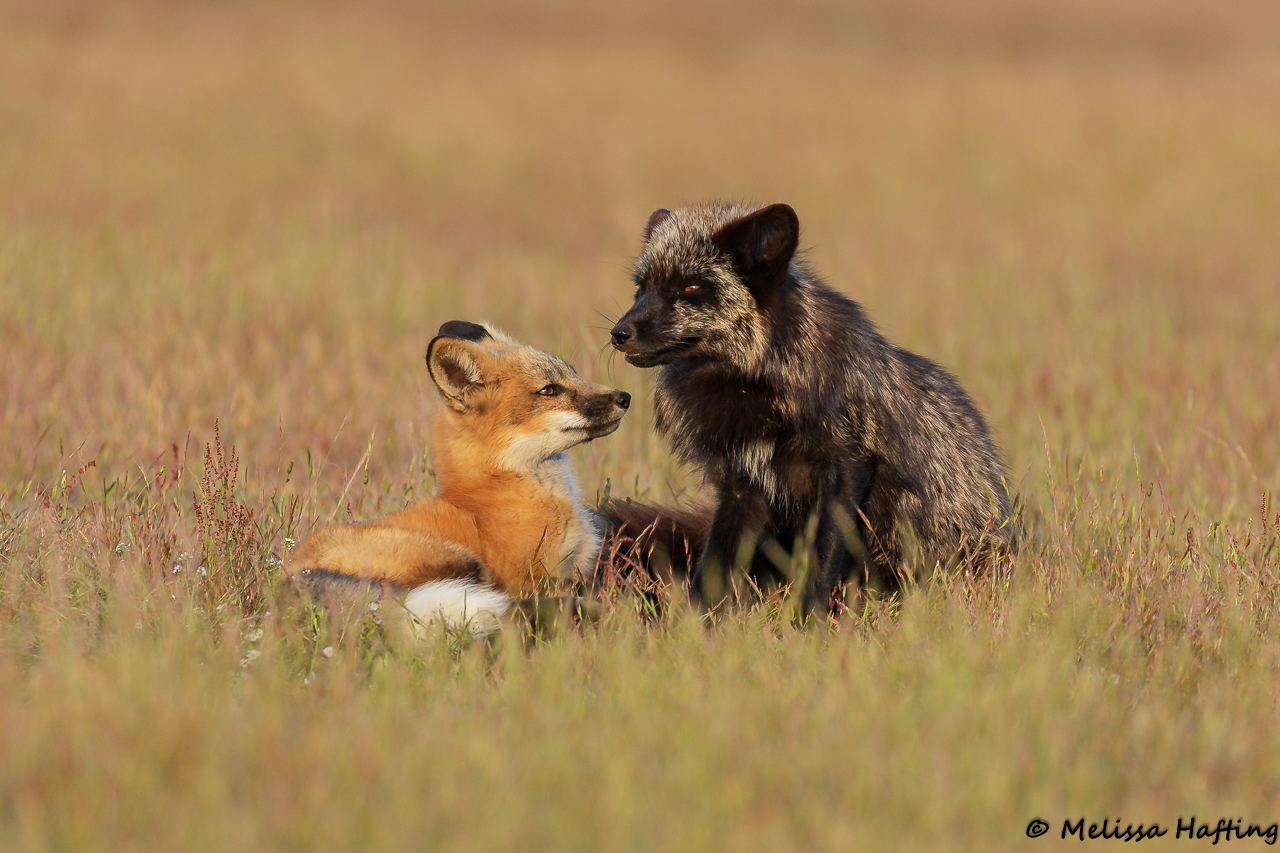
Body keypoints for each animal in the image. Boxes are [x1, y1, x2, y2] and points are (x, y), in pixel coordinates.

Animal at [287, 320, 631, 636]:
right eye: (549, 390)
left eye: (574, 374)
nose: (625, 397)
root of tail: (287, 576)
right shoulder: (532, 576)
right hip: (458, 560)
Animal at [605, 202, 1013, 613]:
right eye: (641, 287)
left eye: (690, 288)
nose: (618, 334)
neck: (752, 388)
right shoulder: (742, 487)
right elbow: (712, 571)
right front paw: (690, 625)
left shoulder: (846, 467)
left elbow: (821, 564)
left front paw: (809, 624)